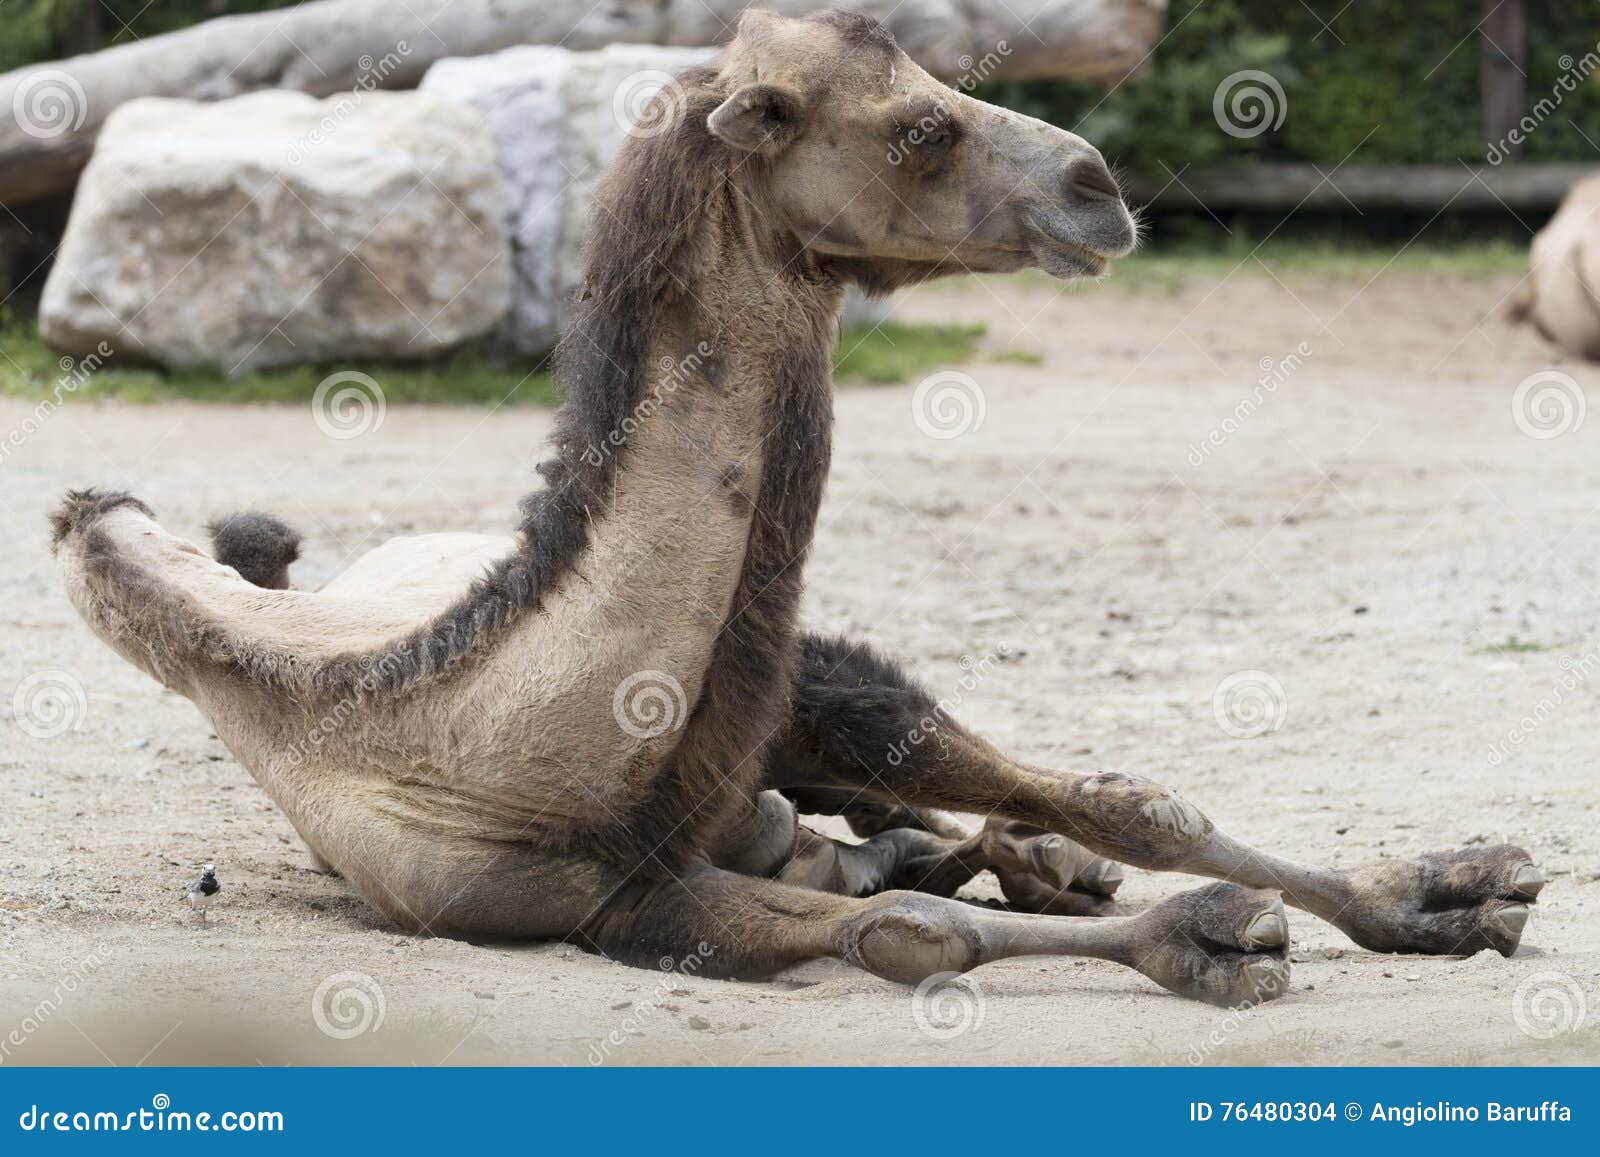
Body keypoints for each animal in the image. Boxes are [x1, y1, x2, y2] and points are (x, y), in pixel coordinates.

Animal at [53, 9, 1543, 1008]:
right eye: (920, 127)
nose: (1097, 188)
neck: (483, 717)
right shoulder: (600, 901)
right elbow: (915, 939)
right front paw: (1213, 934)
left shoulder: (792, 703)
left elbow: (1137, 801)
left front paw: (1448, 891)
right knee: (866, 860)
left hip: (814, 690)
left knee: (956, 787)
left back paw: (1033, 856)